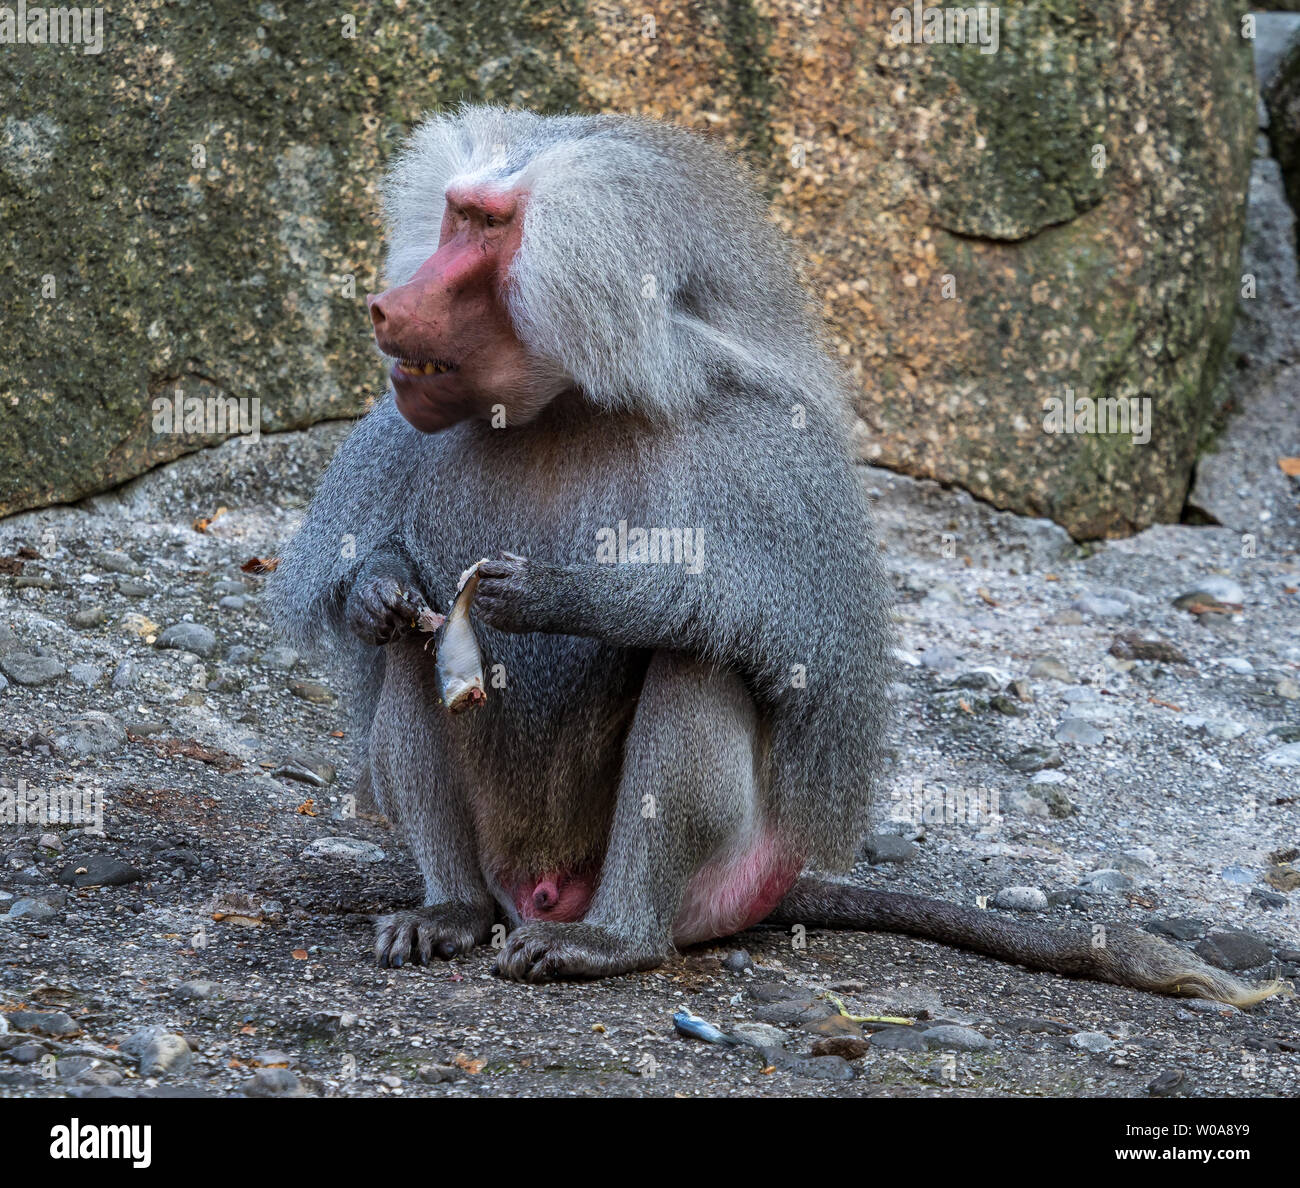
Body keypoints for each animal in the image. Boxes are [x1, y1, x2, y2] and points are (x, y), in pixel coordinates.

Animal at [267, 105, 1281, 1008]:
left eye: (487, 227)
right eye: (454, 213)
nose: (386, 306)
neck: (569, 404)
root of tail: (543, 893)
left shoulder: (768, 455)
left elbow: (761, 635)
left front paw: (563, 594)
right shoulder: (397, 431)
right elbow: (390, 598)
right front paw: (376, 588)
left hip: (722, 877)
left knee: (702, 655)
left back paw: (611, 941)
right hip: (510, 857)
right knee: (418, 651)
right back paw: (451, 913)